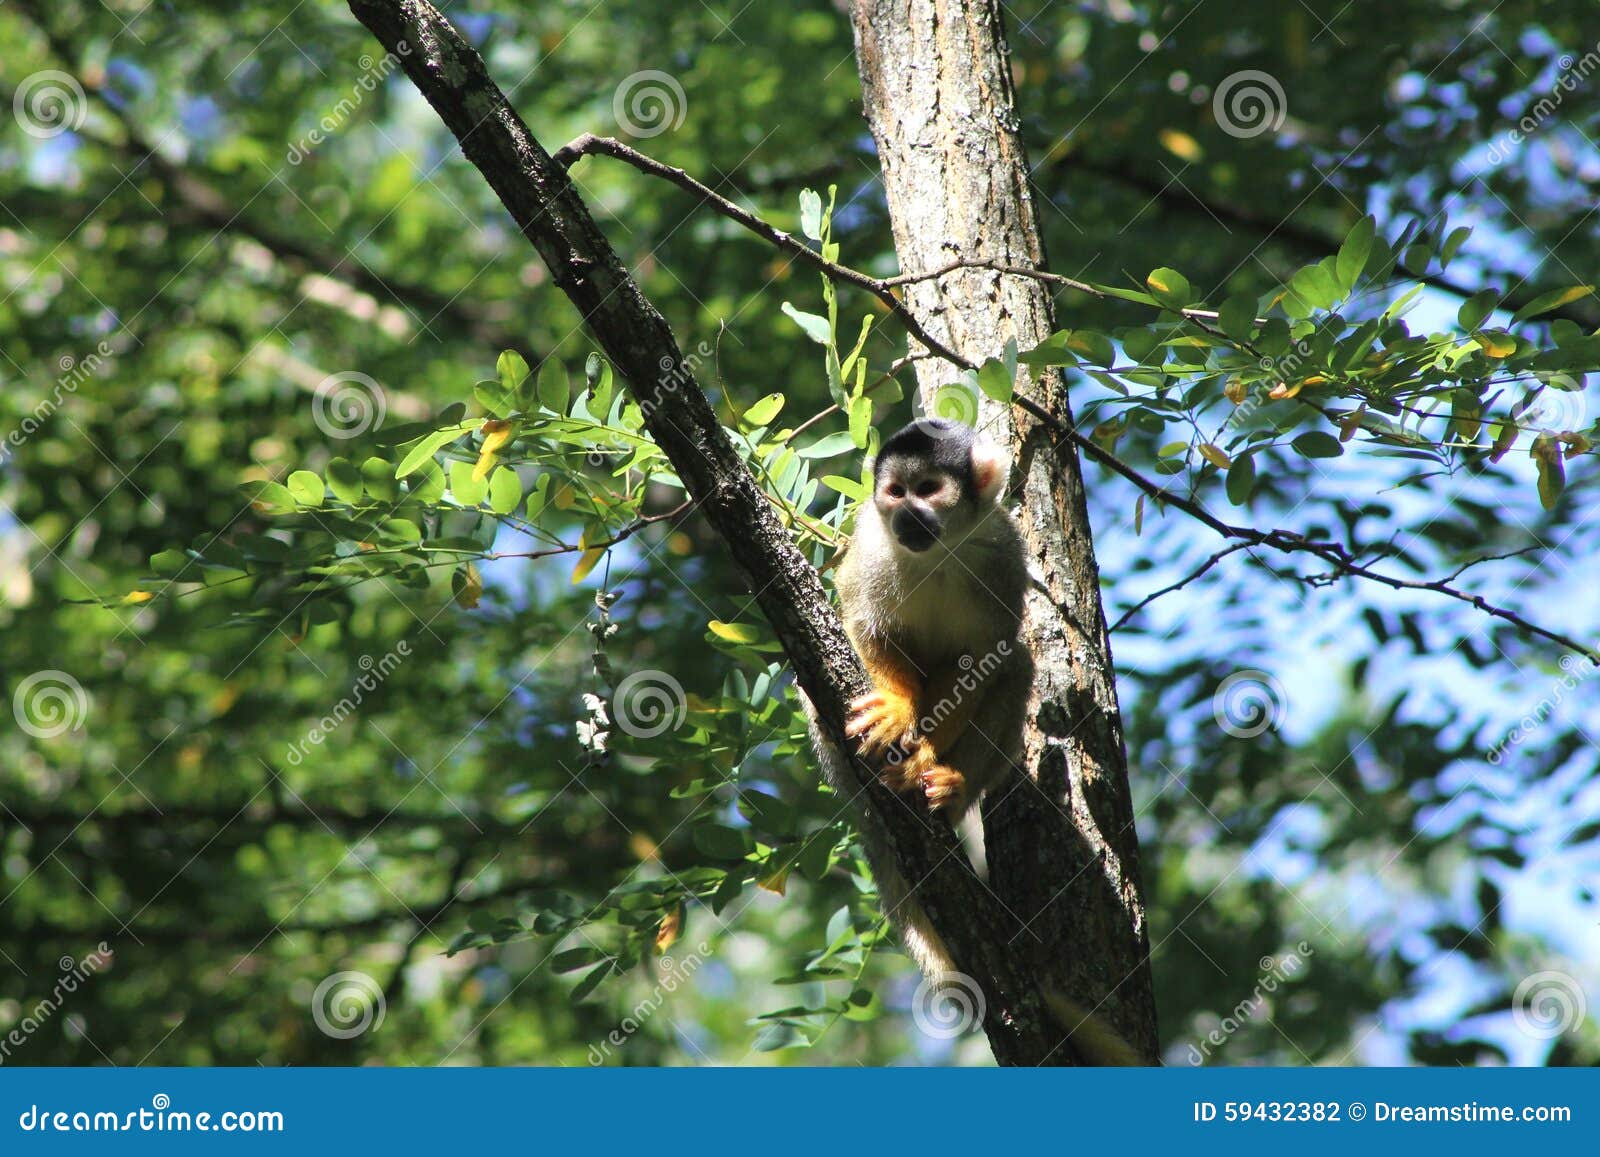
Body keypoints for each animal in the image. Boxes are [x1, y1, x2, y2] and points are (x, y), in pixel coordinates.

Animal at [809, 417, 1144, 1066]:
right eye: (894, 492)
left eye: (929, 489)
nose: (907, 516)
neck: (938, 552)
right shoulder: (871, 543)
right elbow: (864, 628)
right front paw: (897, 710)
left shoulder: (1003, 555)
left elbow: (983, 658)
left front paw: (924, 758)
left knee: (1015, 665)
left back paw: (951, 785)